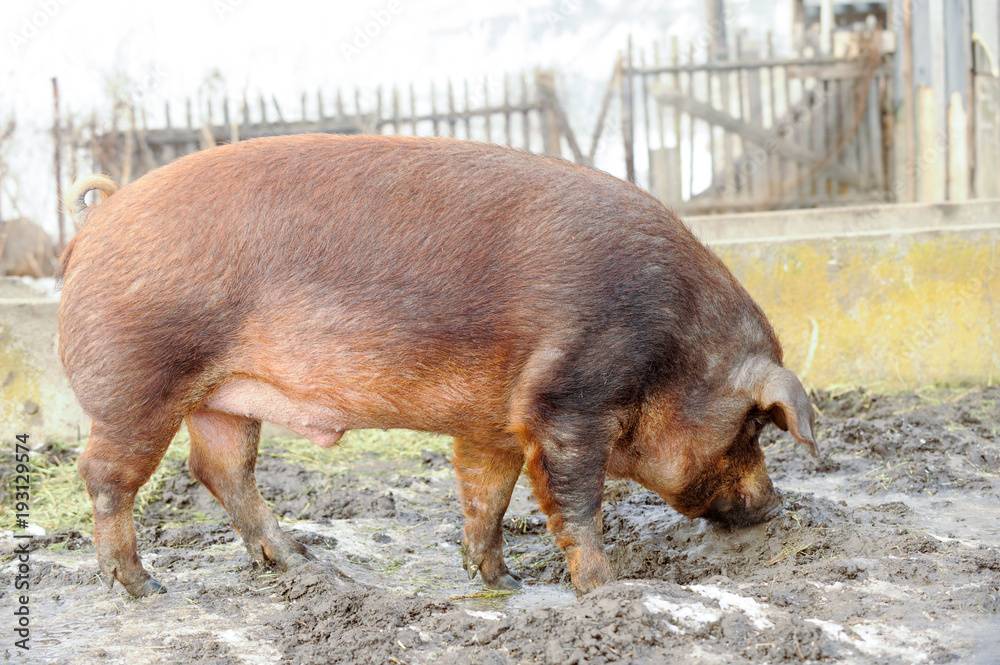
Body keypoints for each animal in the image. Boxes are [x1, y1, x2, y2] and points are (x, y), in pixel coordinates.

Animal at [58, 134, 818, 599]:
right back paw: (141, 586)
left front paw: (501, 582)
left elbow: (487, 494)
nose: (774, 504)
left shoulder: (494, 421)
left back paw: (301, 563)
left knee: (218, 468)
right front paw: (609, 590)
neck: (674, 348)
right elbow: (576, 500)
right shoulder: (567, 399)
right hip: (137, 382)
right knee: (106, 473)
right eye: (754, 428)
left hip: (222, 398)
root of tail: (101, 217)